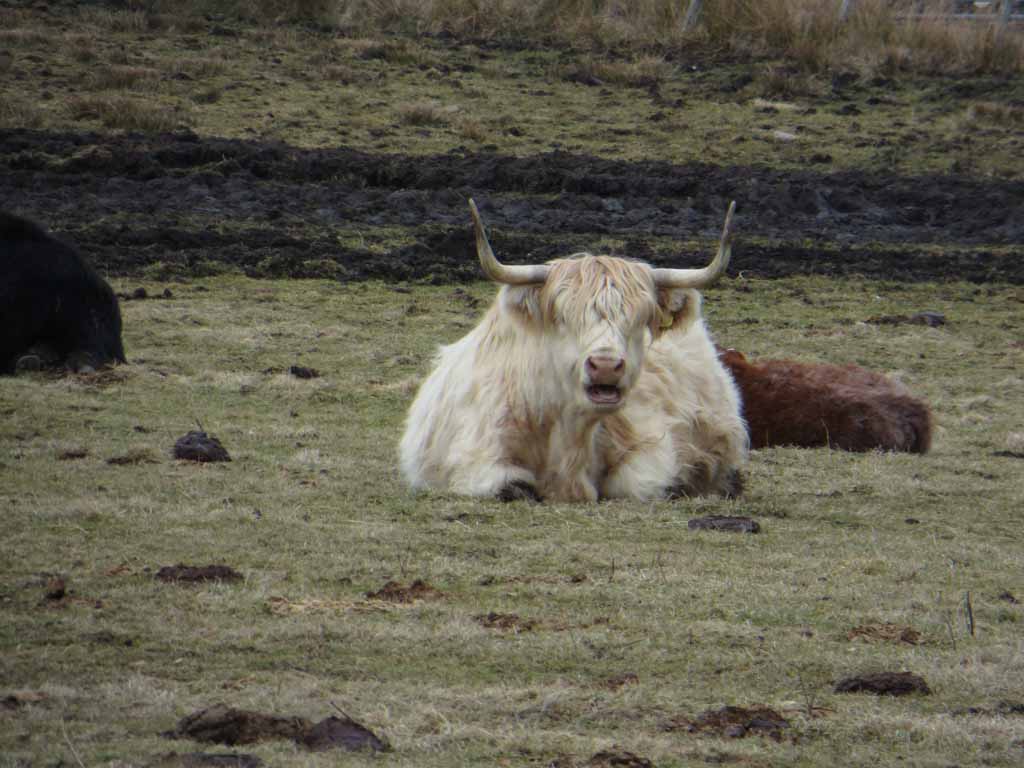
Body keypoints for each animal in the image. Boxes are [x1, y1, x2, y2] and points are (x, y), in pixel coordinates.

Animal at [400, 200, 748, 502]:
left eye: (639, 320)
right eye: (563, 317)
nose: (605, 366)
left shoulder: (649, 443)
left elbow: (634, 484)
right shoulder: (473, 457)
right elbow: (510, 484)